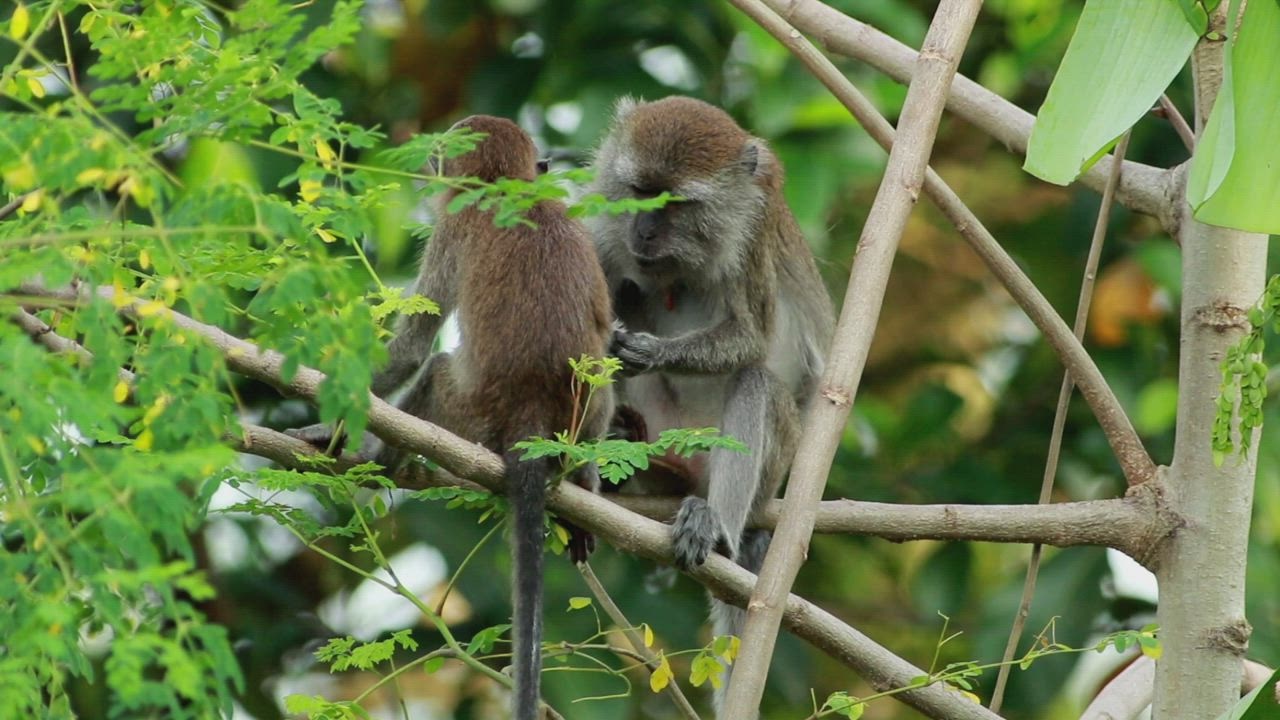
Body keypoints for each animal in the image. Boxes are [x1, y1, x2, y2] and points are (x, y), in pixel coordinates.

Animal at [293, 115, 613, 720]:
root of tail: (530, 412)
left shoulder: (451, 229)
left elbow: (414, 348)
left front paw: (331, 425)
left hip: (469, 409)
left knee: (438, 367)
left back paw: (383, 459)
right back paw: (583, 483)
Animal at [587, 96, 834, 715]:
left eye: (675, 204)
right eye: (639, 192)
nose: (644, 229)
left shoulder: (754, 235)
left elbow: (750, 340)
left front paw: (650, 351)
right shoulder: (607, 226)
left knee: (755, 383)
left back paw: (715, 527)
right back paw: (619, 449)